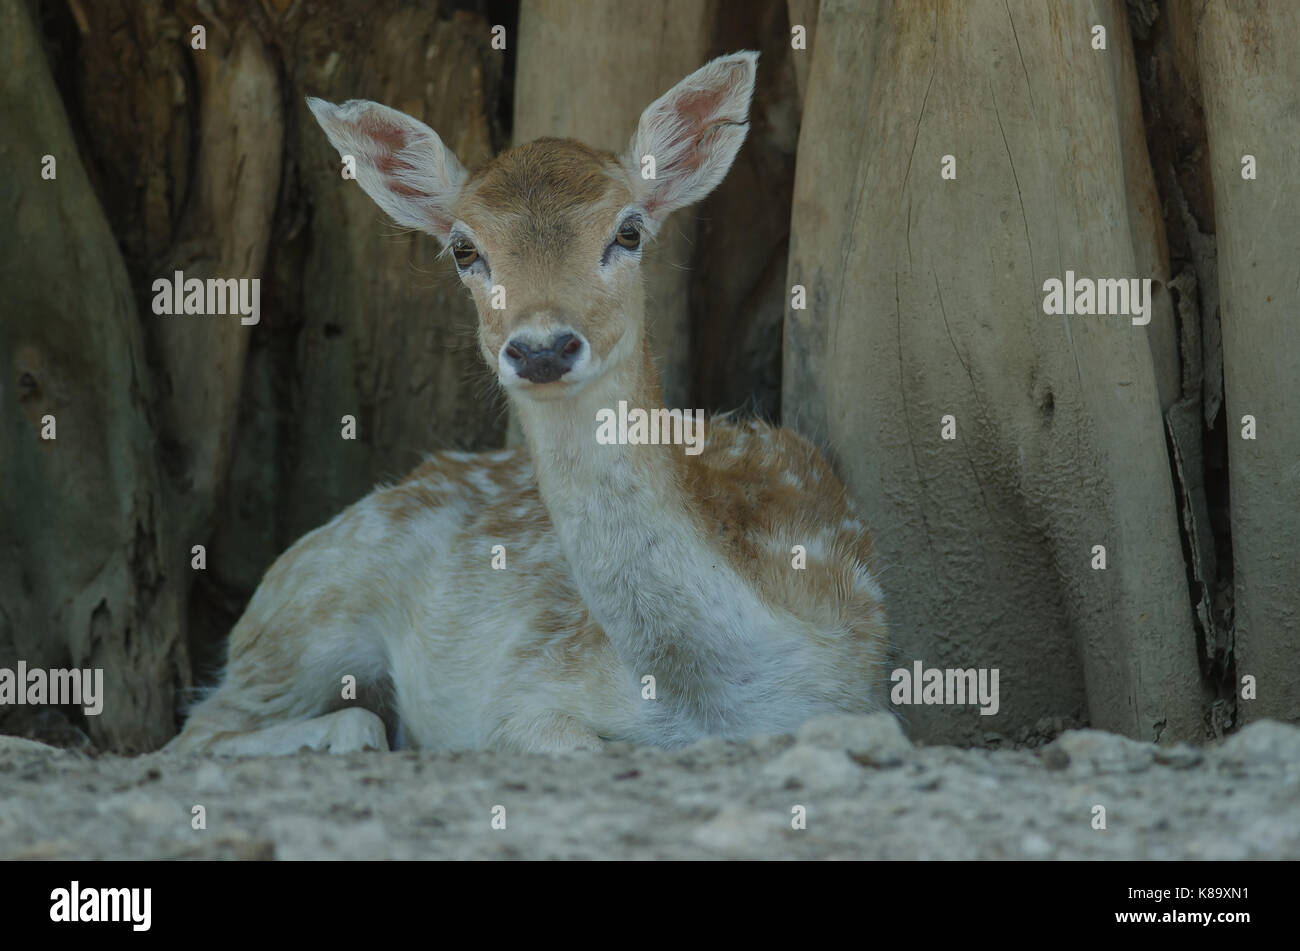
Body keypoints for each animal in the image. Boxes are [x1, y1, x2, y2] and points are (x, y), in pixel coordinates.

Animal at [167, 52, 889, 756]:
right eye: (464, 249)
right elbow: (574, 743)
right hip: (310, 612)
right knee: (201, 729)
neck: (710, 695)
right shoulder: (526, 687)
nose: (542, 347)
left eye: (629, 231)